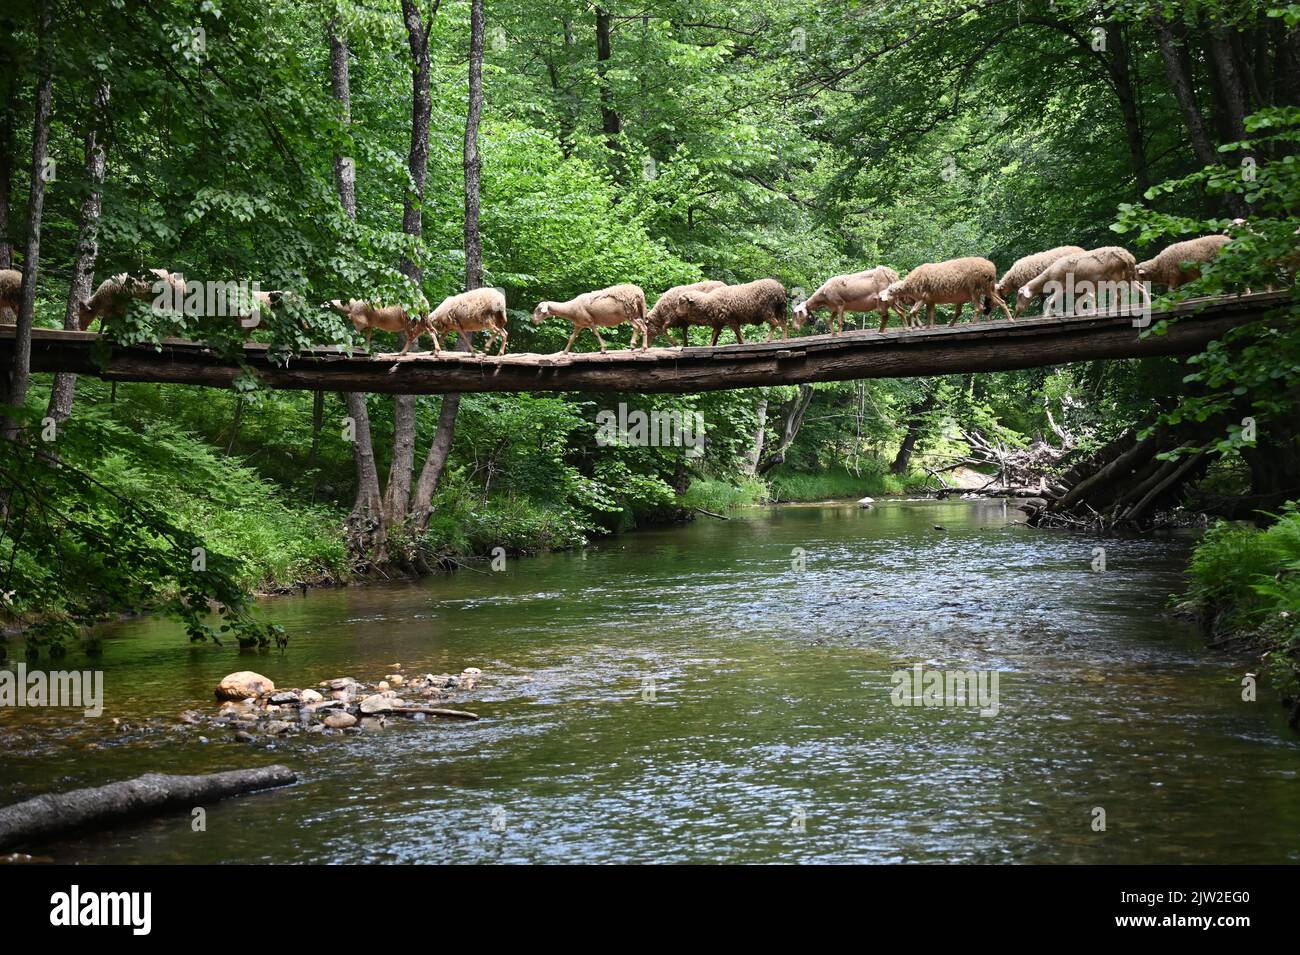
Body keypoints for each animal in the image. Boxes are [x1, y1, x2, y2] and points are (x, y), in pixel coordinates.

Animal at [880, 257, 1012, 328]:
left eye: (889, 291)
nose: (883, 300)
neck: (909, 285)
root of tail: (991, 268)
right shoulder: (930, 300)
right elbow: (930, 315)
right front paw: (928, 327)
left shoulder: (923, 297)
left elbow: (913, 311)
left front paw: (918, 326)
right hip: (987, 289)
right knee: (1001, 302)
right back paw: (1010, 319)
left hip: (975, 290)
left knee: (979, 308)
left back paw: (972, 324)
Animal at [1017, 246, 1149, 316]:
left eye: (1019, 295)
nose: (1016, 311)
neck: (1048, 276)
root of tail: (1129, 257)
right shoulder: (1078, 289)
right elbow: (1079, 303)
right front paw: (1084, 313)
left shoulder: (1061, 287)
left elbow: (1049, 301)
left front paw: (1045, 316)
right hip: (1127, 276)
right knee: (1141, 288)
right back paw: (1148, 304)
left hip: (1115, 277)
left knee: (1118, 296)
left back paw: (1111, 311)